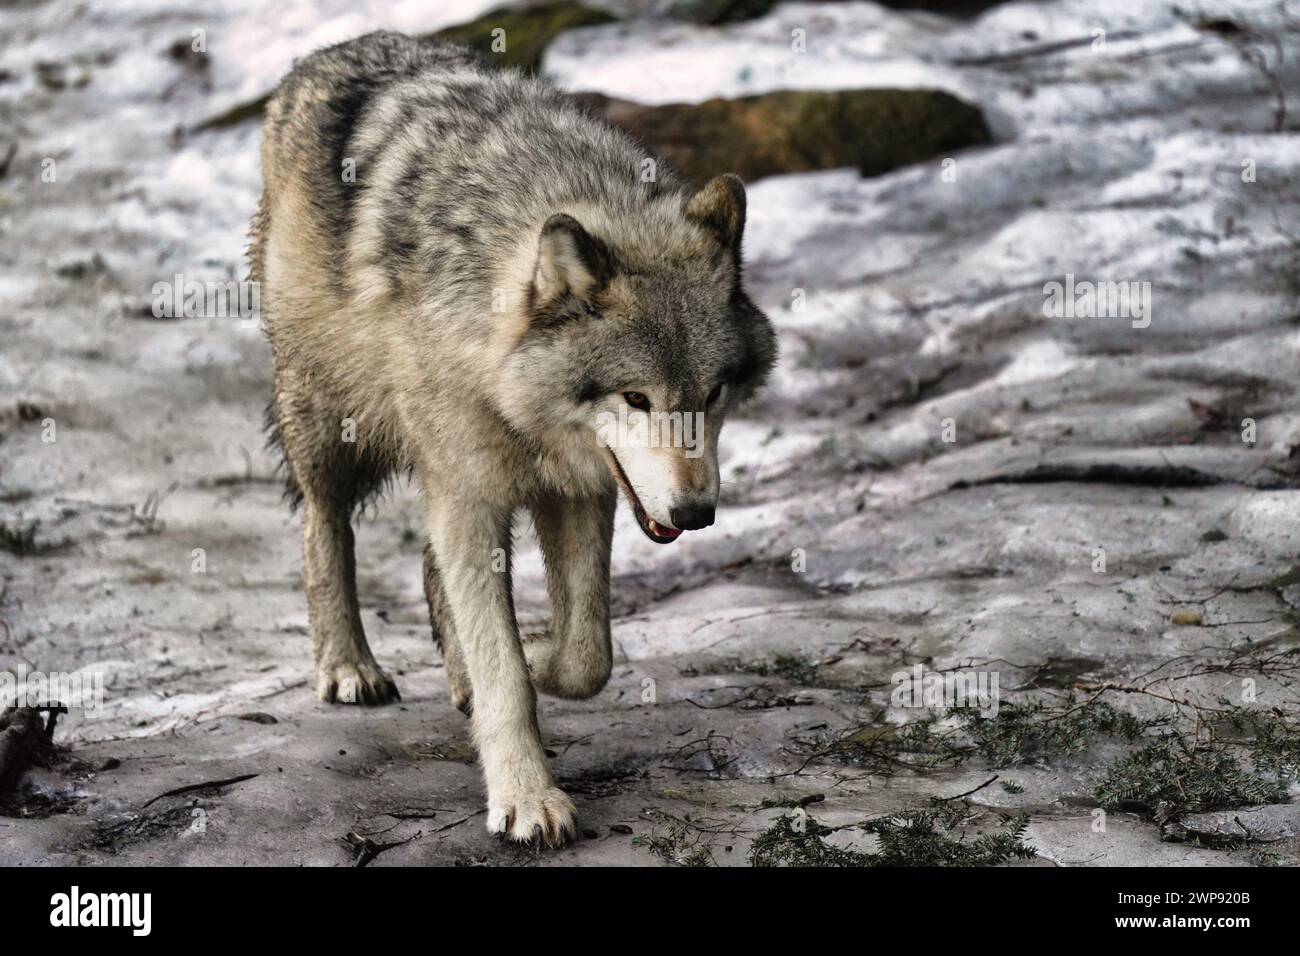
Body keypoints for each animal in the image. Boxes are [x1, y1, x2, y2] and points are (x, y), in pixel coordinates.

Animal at [249, 31, 777, 846]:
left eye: (713, 394)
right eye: (636, 398)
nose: (695, 514)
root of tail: (329, 51)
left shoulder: (580, 490)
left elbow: (587, 656)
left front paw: (526, 659)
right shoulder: (470, 497)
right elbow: (506, 672)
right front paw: (528, 798)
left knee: (430, 569)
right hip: (330, 421)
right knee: (322, 526)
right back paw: (347, 666)